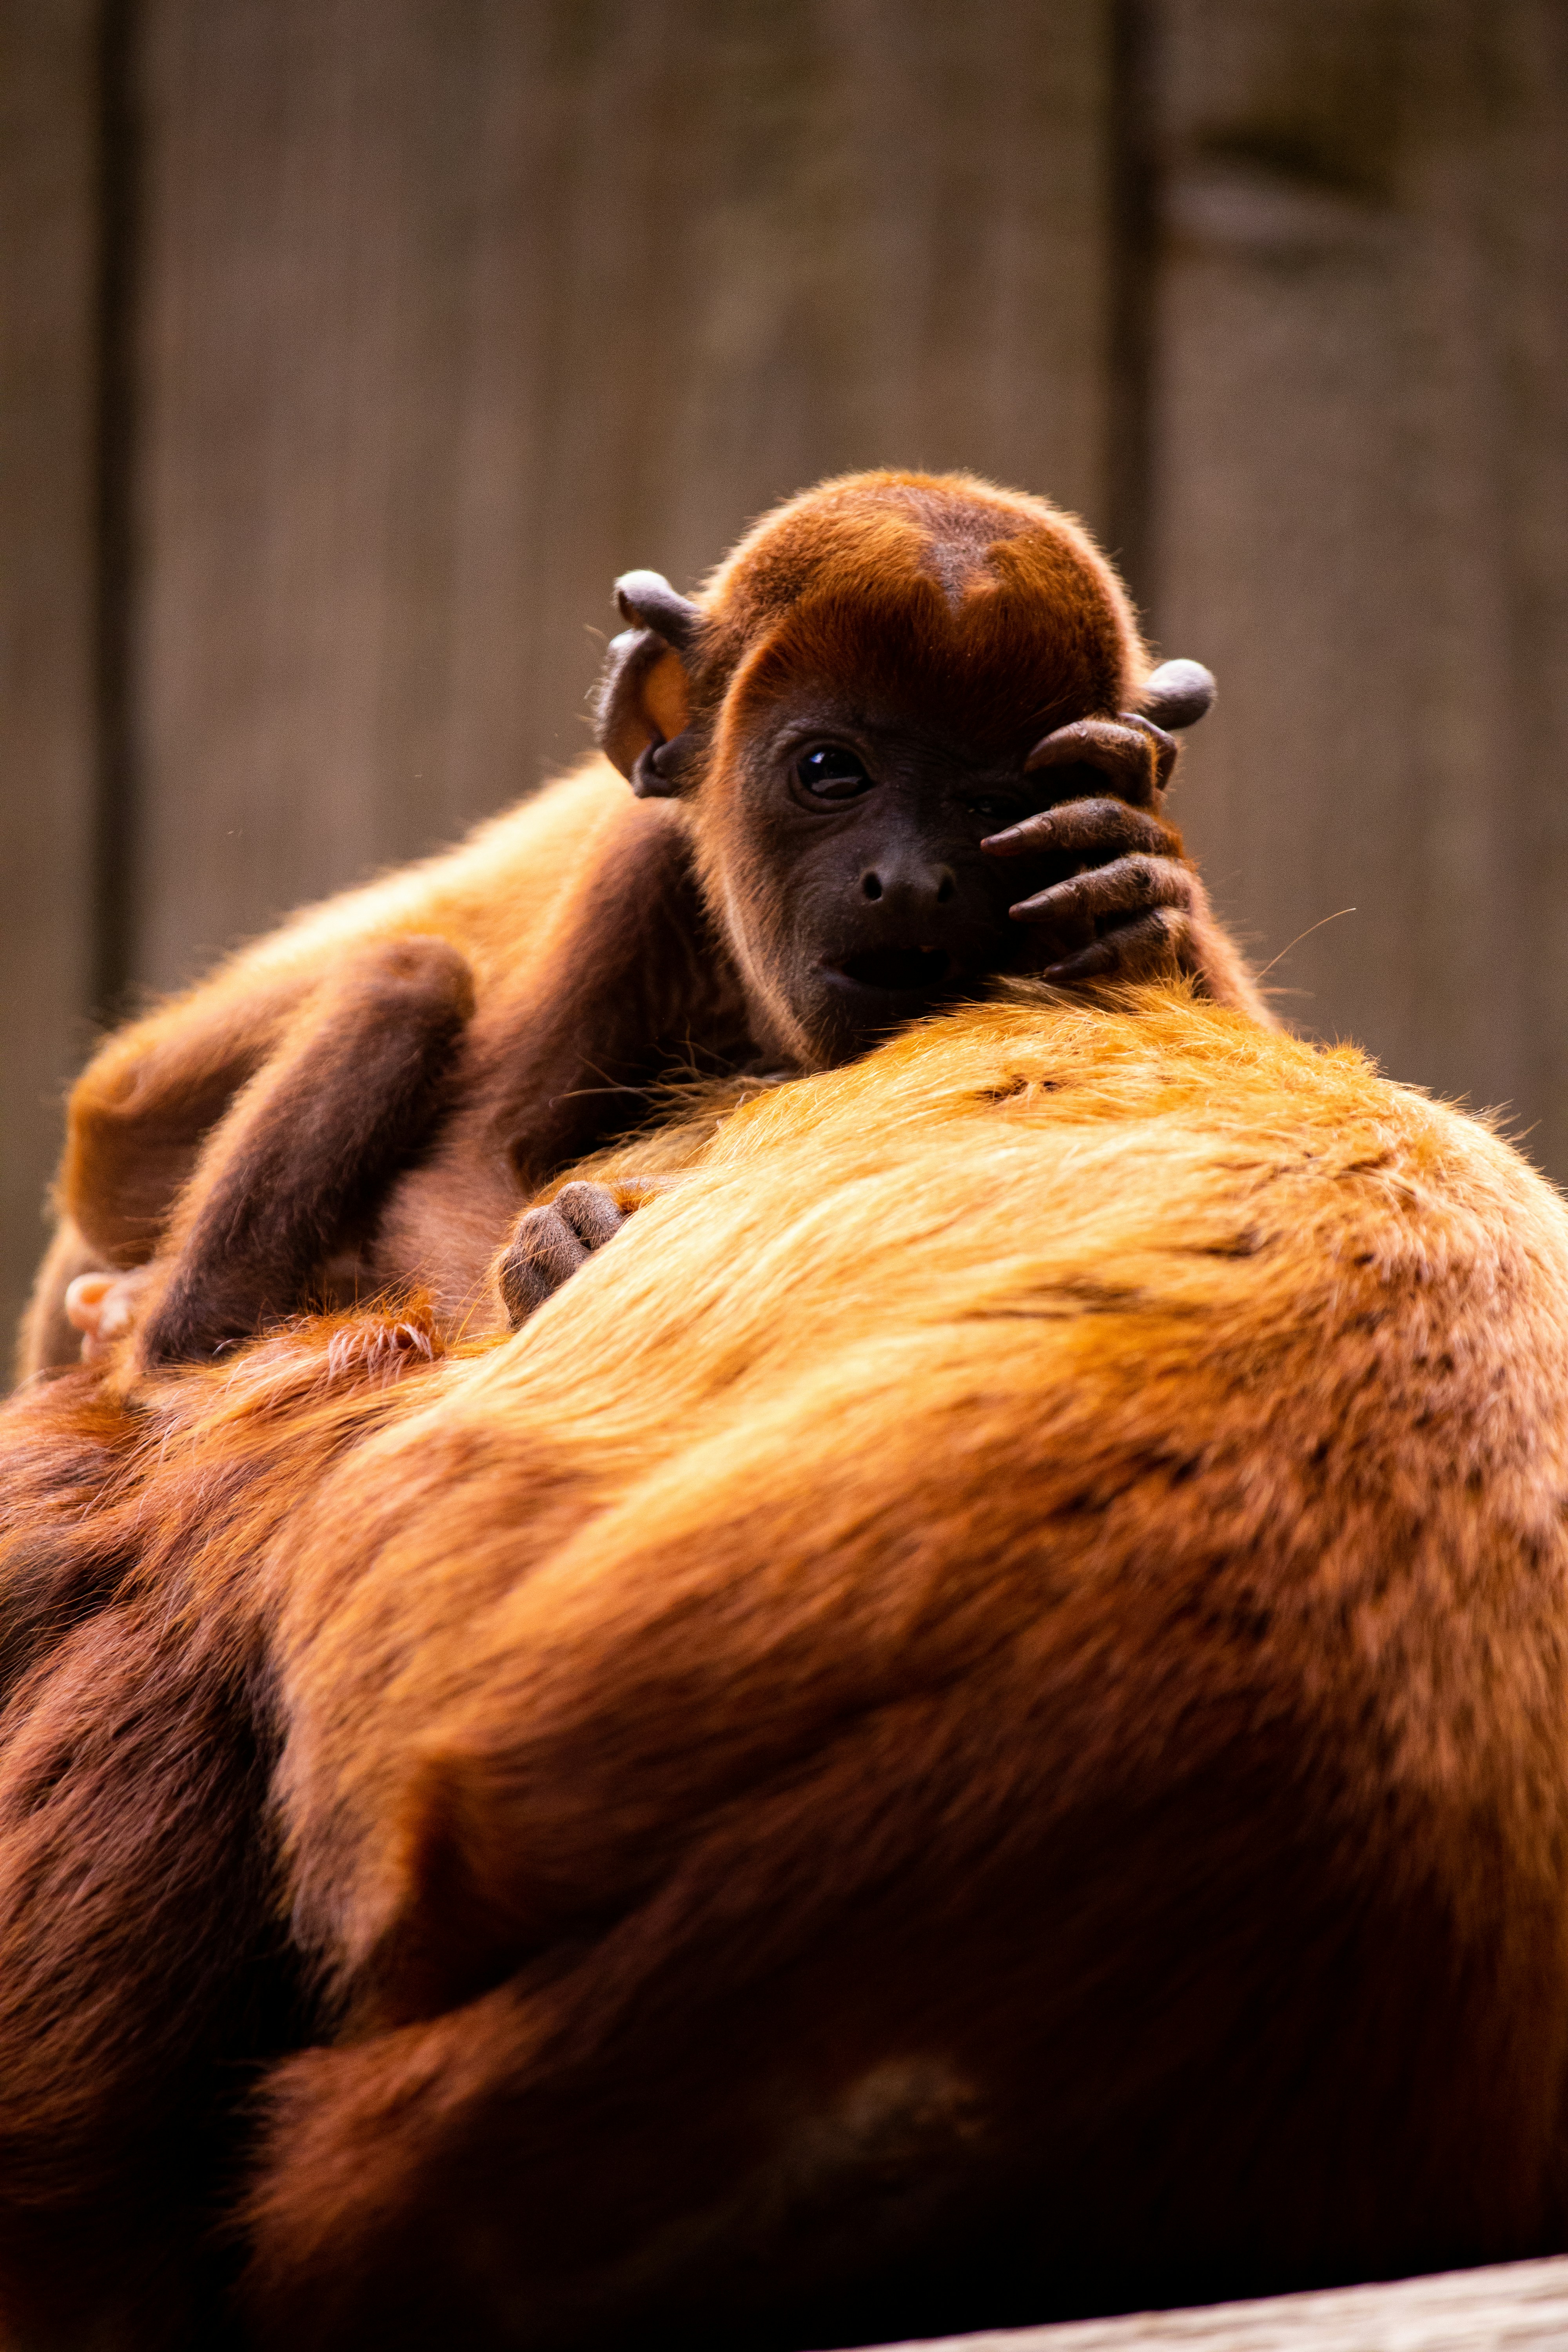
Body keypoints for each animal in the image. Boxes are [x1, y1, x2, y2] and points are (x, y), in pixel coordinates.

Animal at [19, 469, 1271, 1384]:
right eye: (831, 772)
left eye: (995, 807)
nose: (912, 882)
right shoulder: (638, 873)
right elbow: (471, 1159)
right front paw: (558, 1267)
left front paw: (1137, 898)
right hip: (125, 1129)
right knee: (408, 974)